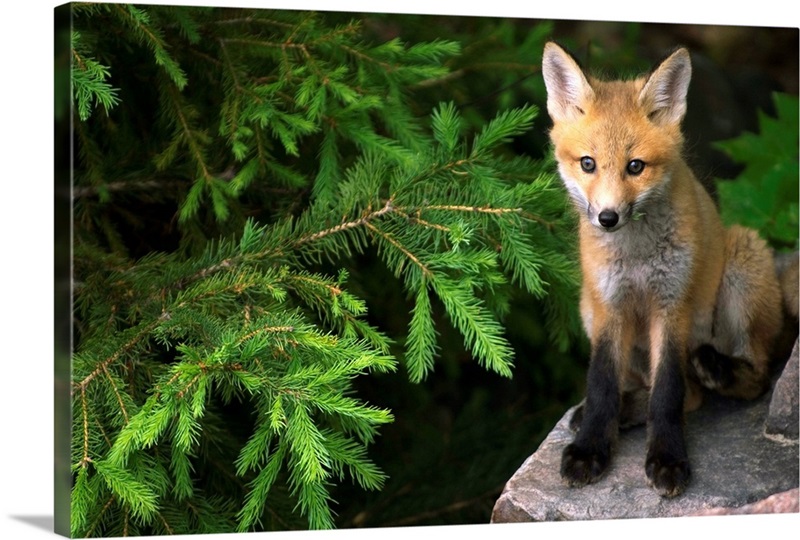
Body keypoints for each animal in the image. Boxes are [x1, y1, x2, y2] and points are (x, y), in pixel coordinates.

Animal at [541, 41, 796, 497]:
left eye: (635, 166)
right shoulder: (609, 306)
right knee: (686, 394)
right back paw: (621, 411)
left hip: (742, 260)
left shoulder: (672, 304)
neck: (637, 259)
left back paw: (720, 370)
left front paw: (667, 460)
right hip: (588, 309)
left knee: (749, 379)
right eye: (588, 164)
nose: (607, 218)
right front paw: (590, 448)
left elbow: (668, 393)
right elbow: (601, 385)